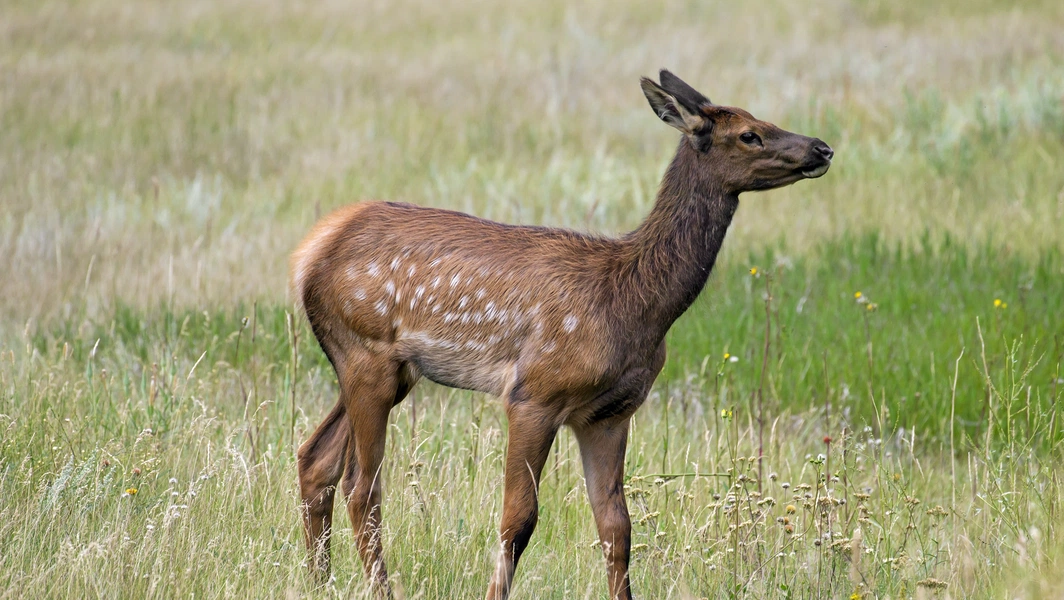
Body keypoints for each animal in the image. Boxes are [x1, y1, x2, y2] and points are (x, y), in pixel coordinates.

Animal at [290, 70, 833, 599]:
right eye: (749, 134)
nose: (822, 148)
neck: (634, 302)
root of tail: (310, 252)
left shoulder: (609, 414)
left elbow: (616, 528)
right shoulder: (534, 393)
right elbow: (518, 521)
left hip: (390, 369)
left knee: (316, 459)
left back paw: (320, 583)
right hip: (367, 352)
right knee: (361, 486)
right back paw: (374, 587)